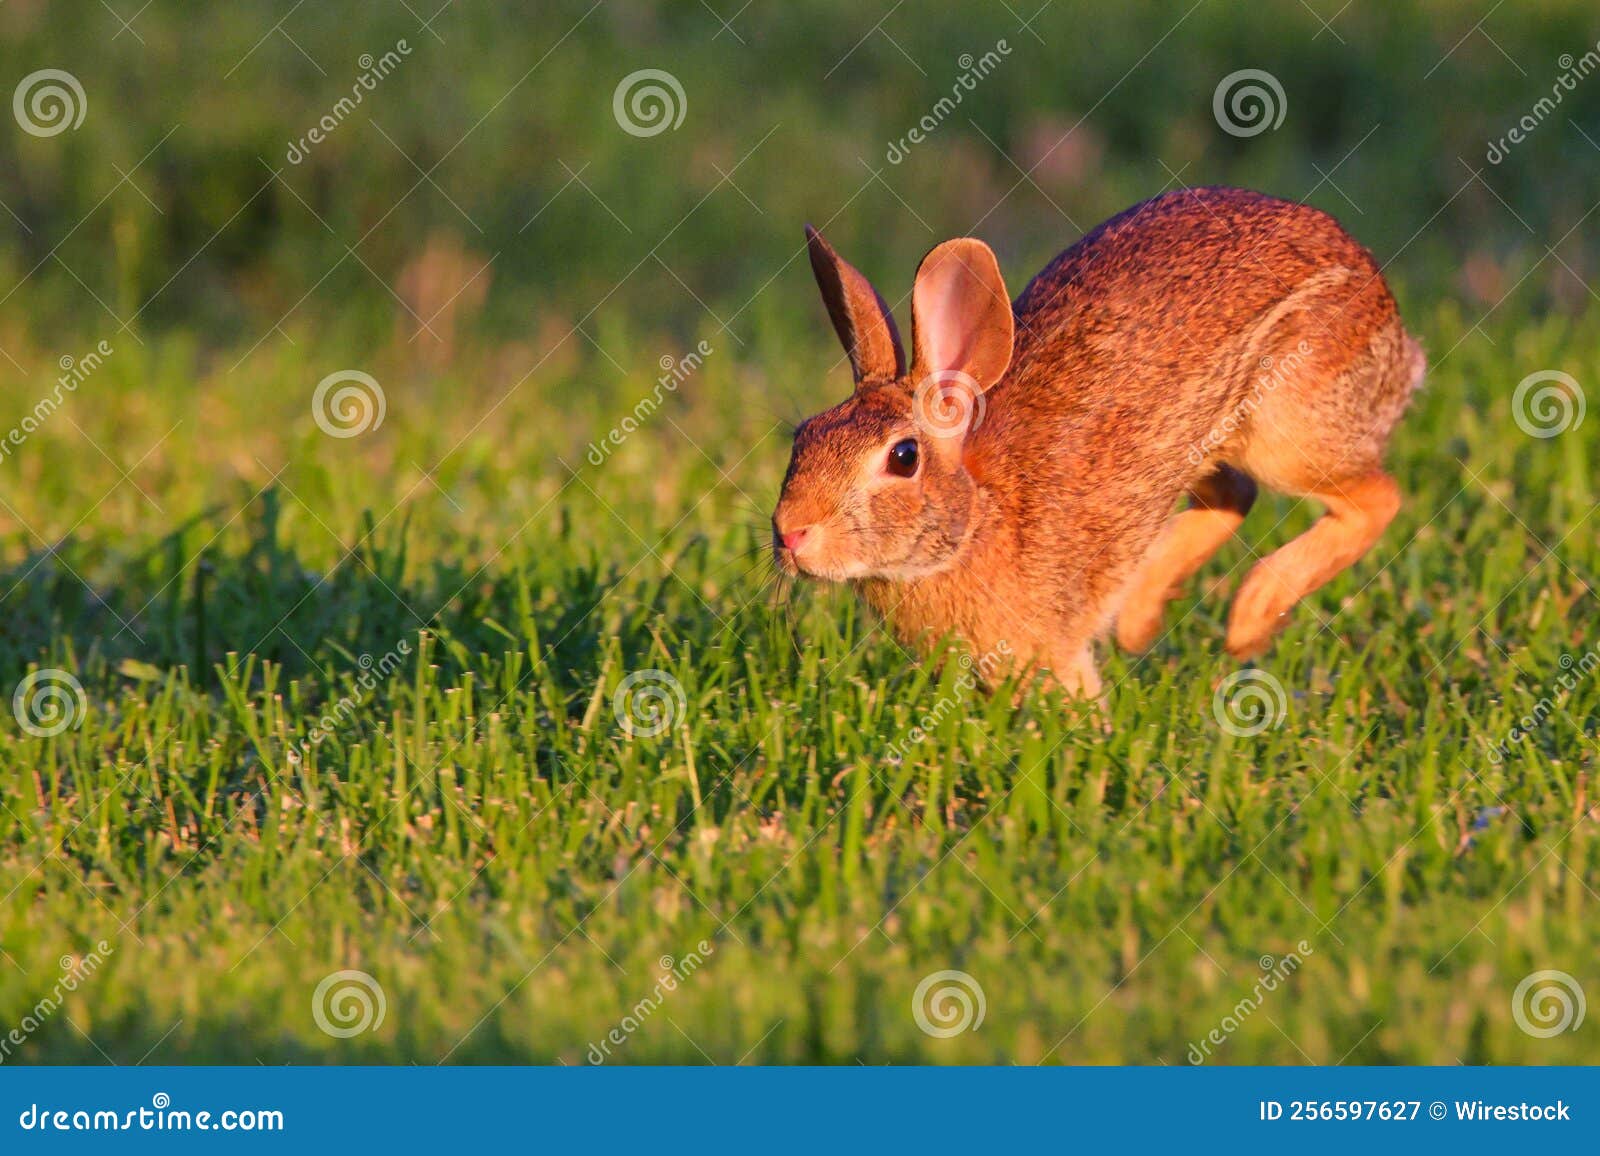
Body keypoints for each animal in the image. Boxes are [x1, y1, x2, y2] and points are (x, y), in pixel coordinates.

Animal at [772, 186, 1423, 697]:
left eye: (902, 458)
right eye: (804, 436)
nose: (791, 533)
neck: (979, 514)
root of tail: (1387, 313)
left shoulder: (1051, 650)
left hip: (1287, 429)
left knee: (1377, 499)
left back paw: (1248, 618)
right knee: (1235, 494)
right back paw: (1141, 618)